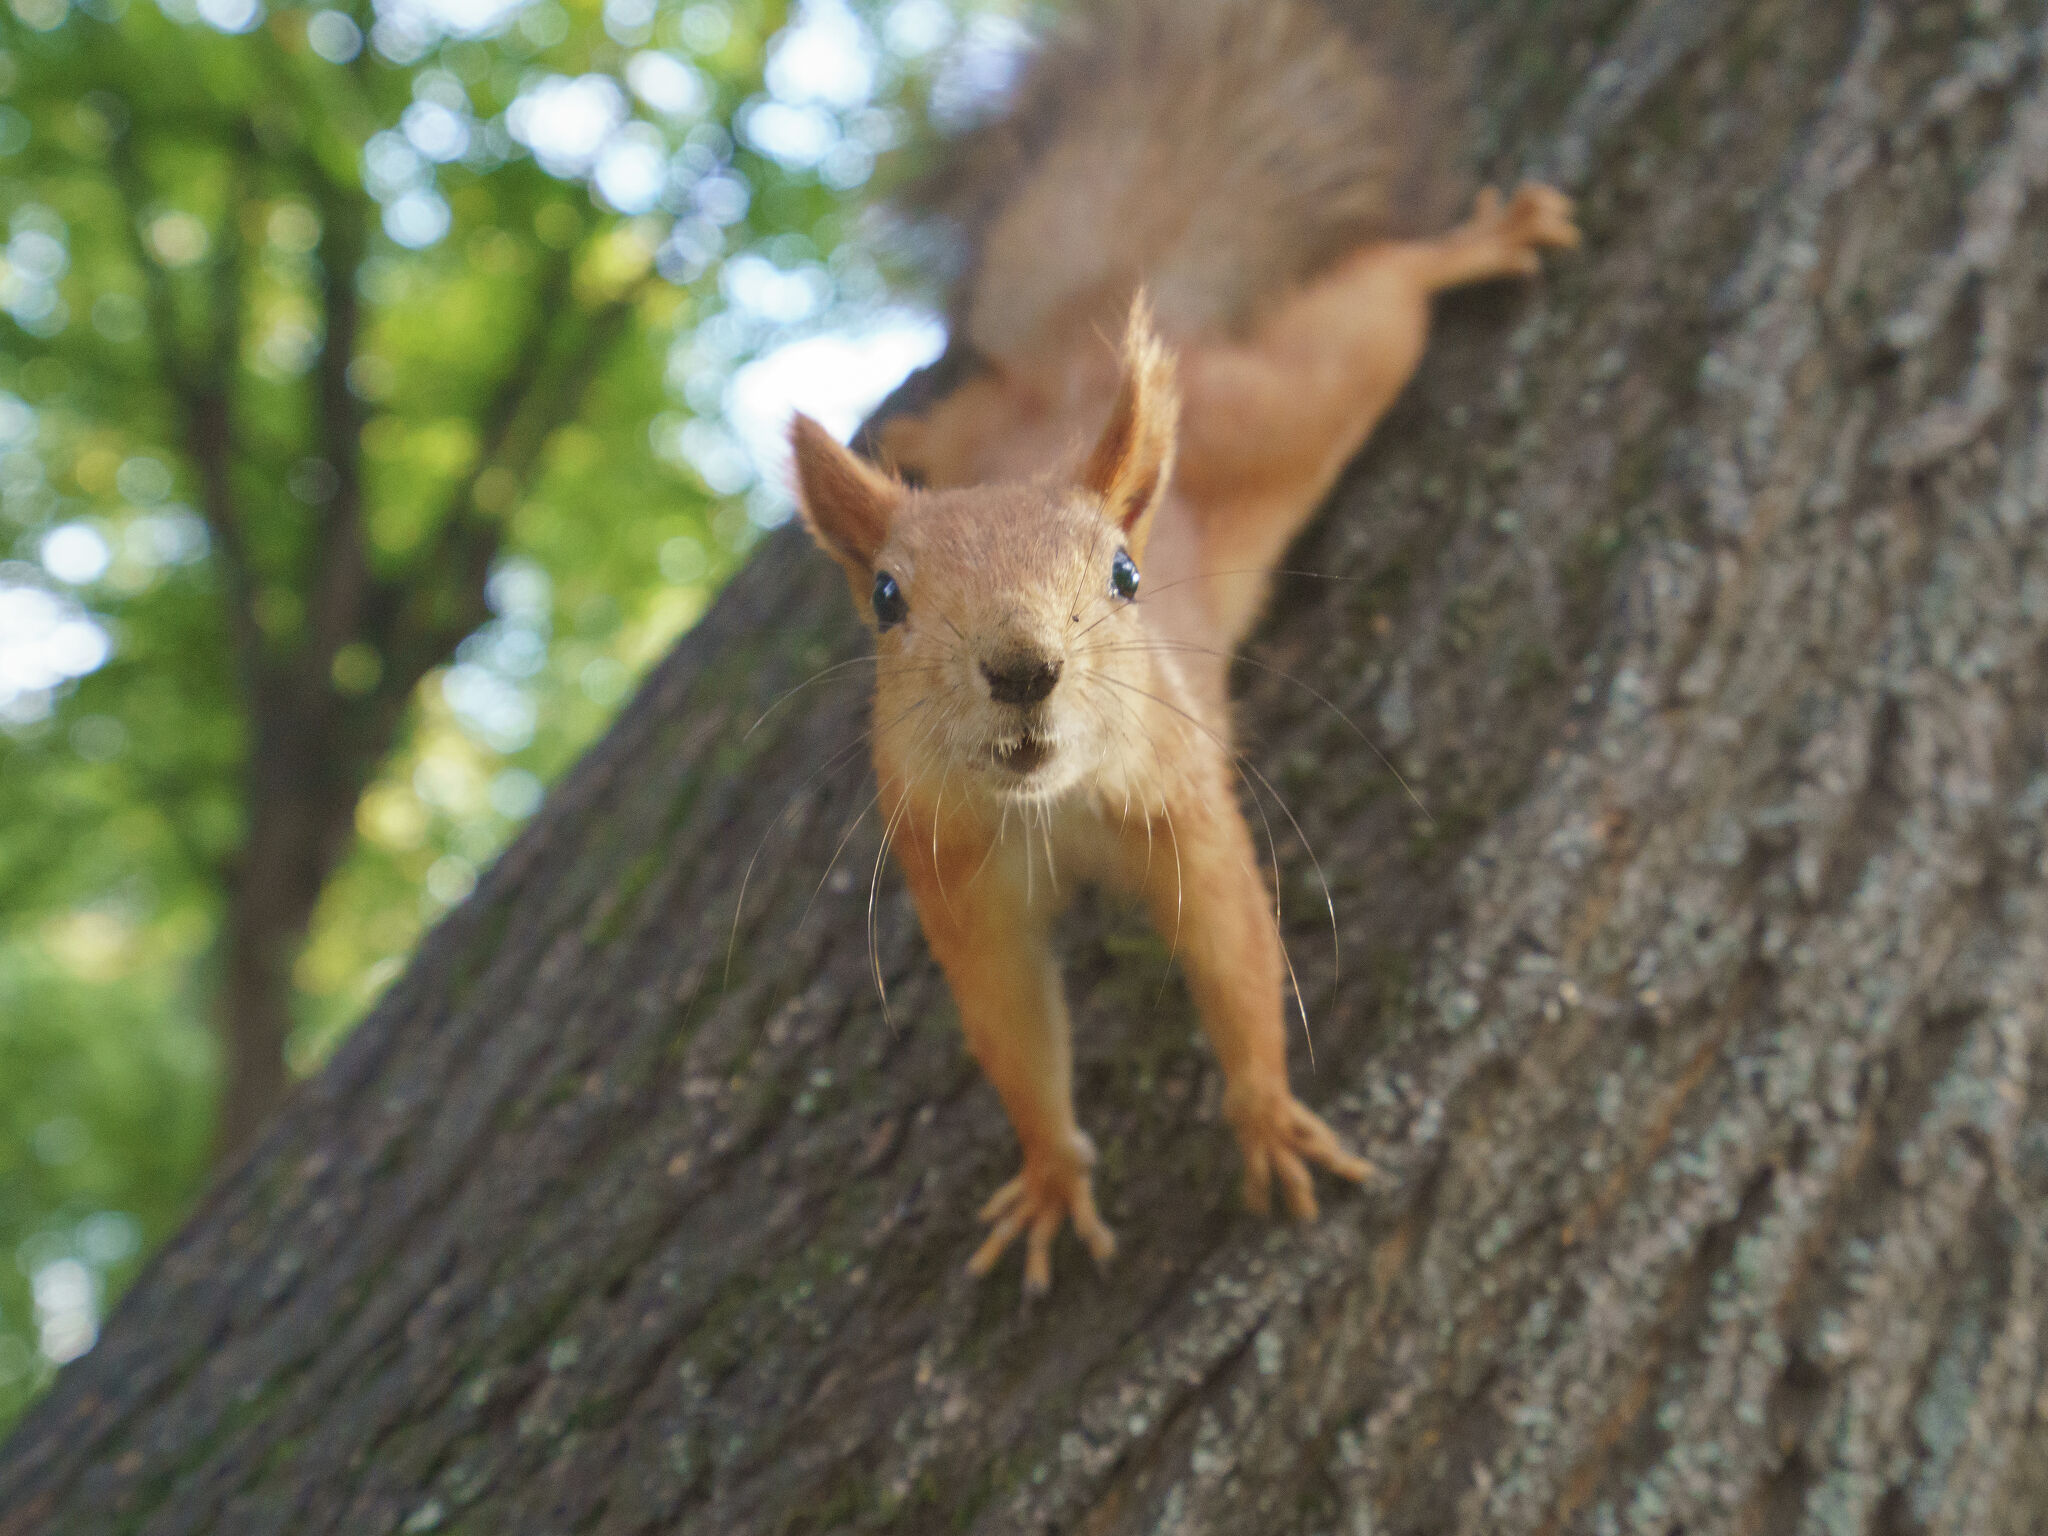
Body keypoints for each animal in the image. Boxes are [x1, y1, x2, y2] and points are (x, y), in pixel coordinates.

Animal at [789, 0, 1579, 1296]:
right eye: (887, 600)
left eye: (1123, 577)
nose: (1021, 669)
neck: (1053, 809)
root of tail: (1075, 359)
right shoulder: (951, 867)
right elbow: (1011, 1029)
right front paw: (1050, 1177)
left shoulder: (1182, 802)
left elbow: (1232, 949)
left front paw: (1264, 1119)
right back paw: (913, 426)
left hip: (1288, 404)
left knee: (1373, 307)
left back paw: (1475, 242)